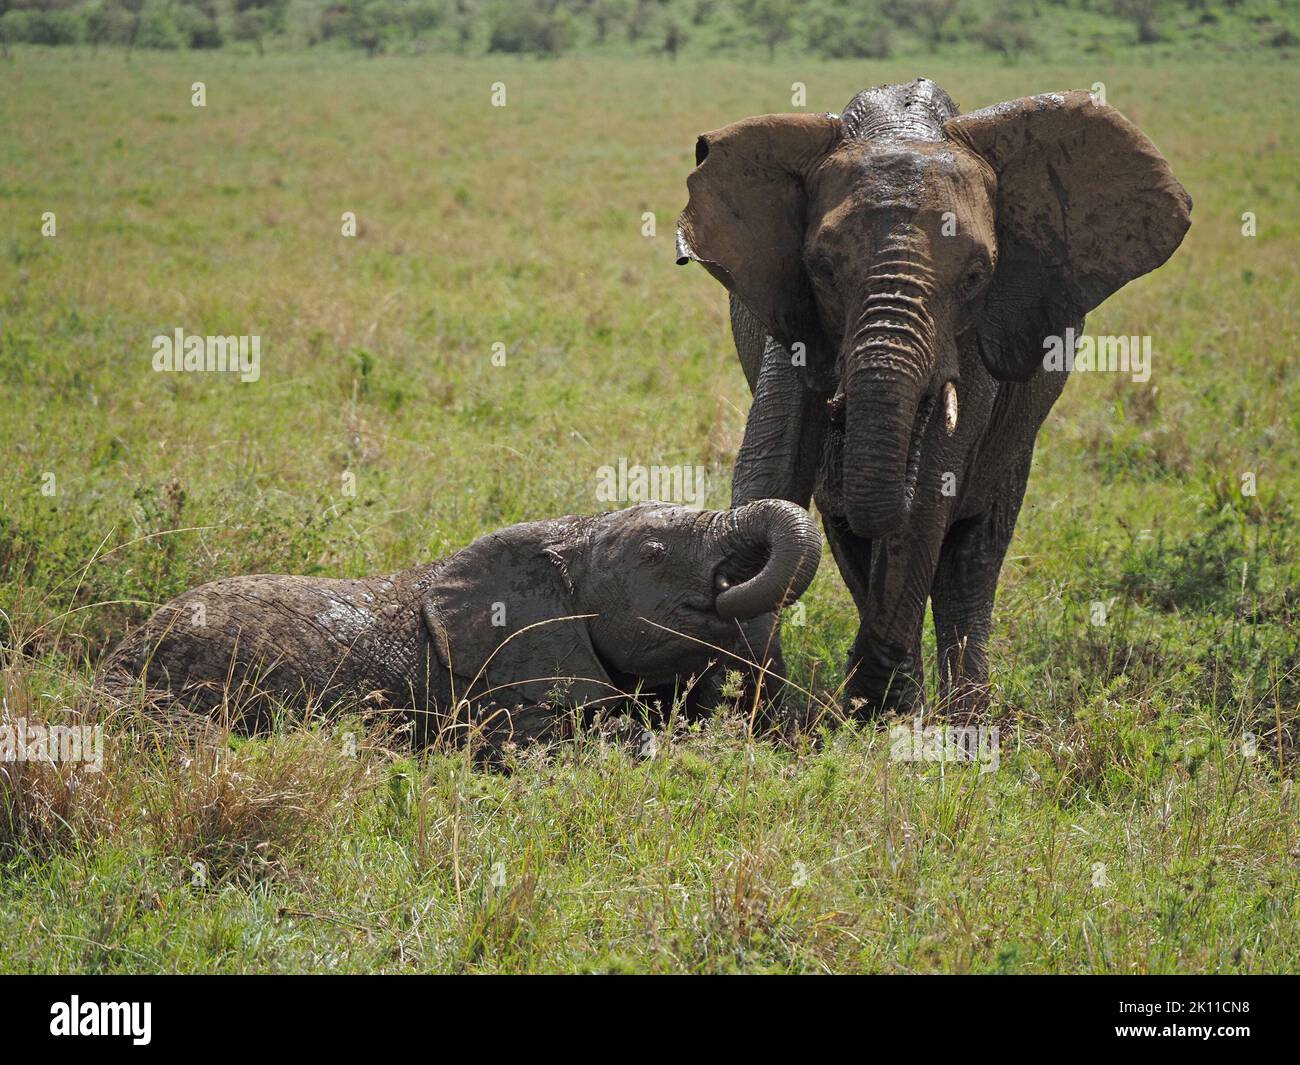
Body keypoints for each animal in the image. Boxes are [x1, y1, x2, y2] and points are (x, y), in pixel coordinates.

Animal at [675, 79, 1191, 718]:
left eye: (976, 275)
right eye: (822, 269)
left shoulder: (978, 336)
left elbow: (930, 493)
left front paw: (880, 707)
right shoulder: (787, 308)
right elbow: (771, 466)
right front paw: (785, 706)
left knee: (973, 548)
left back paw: (963, 717)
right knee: (851, 534)